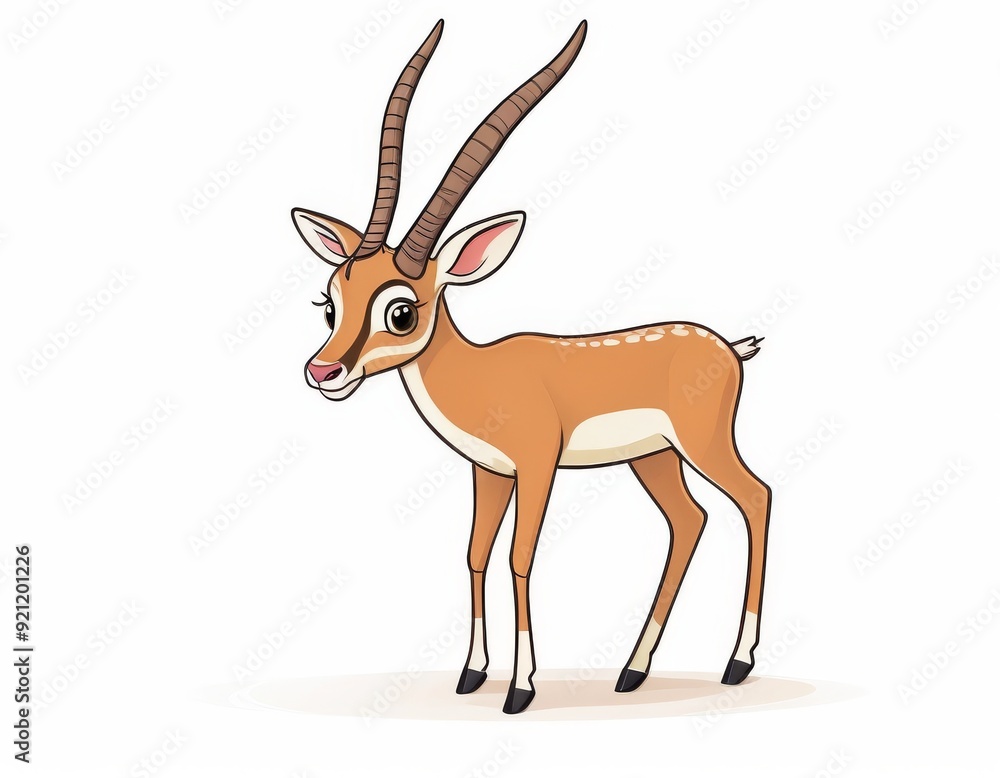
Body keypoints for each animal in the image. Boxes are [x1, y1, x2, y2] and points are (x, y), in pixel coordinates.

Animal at [295, 20, 771, 715]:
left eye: (401, 311)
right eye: (330, 301)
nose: (323, 372)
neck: (481, 372)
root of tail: (728, 347)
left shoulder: (537, 465)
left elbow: (520, 557)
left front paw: (520, 688)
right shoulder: (489, 471)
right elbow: (475, 553)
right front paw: (472, 674)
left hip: (704, 445)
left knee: (755, 499)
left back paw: (737, 663)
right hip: (654, 458)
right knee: (690, 521)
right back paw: (632, 671)